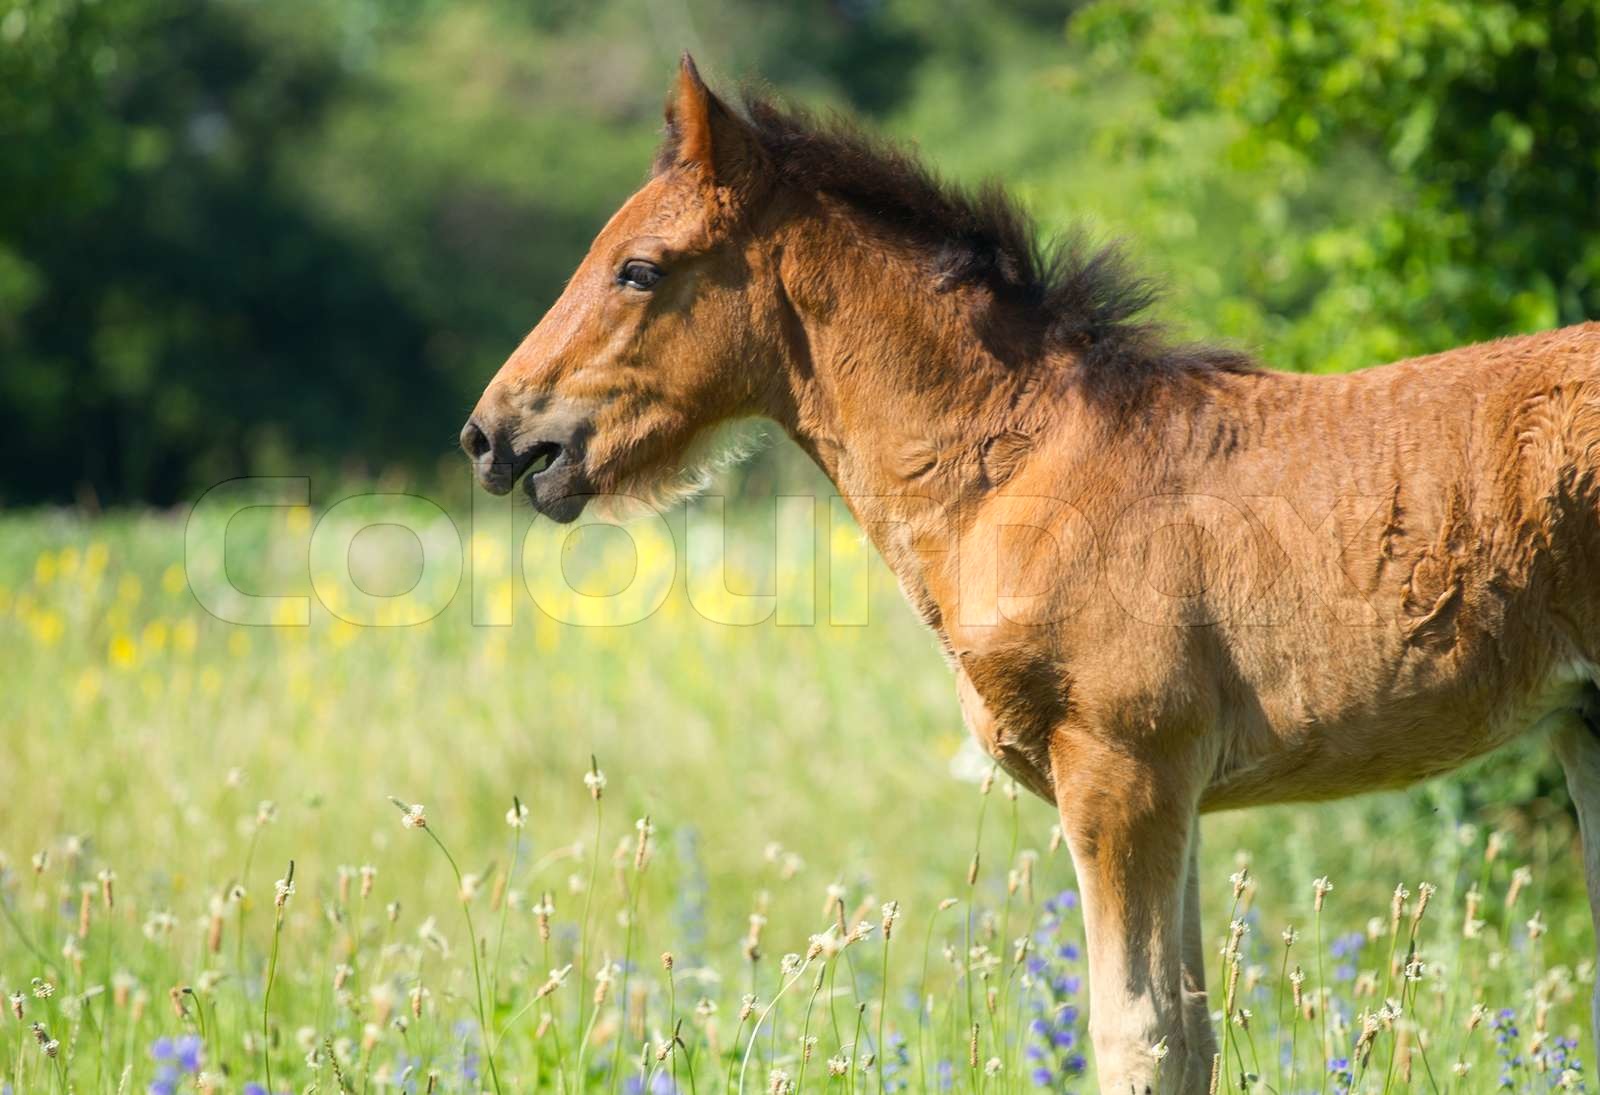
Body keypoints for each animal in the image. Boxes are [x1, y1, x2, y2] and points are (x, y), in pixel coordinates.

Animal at [461, 55, 1600, 1093]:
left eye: (639, 269)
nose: (494, 434)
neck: (1027, 464)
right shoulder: (1174, 790)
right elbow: (1190, 1032)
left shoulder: (1122, 769)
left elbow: (1137, 1033)